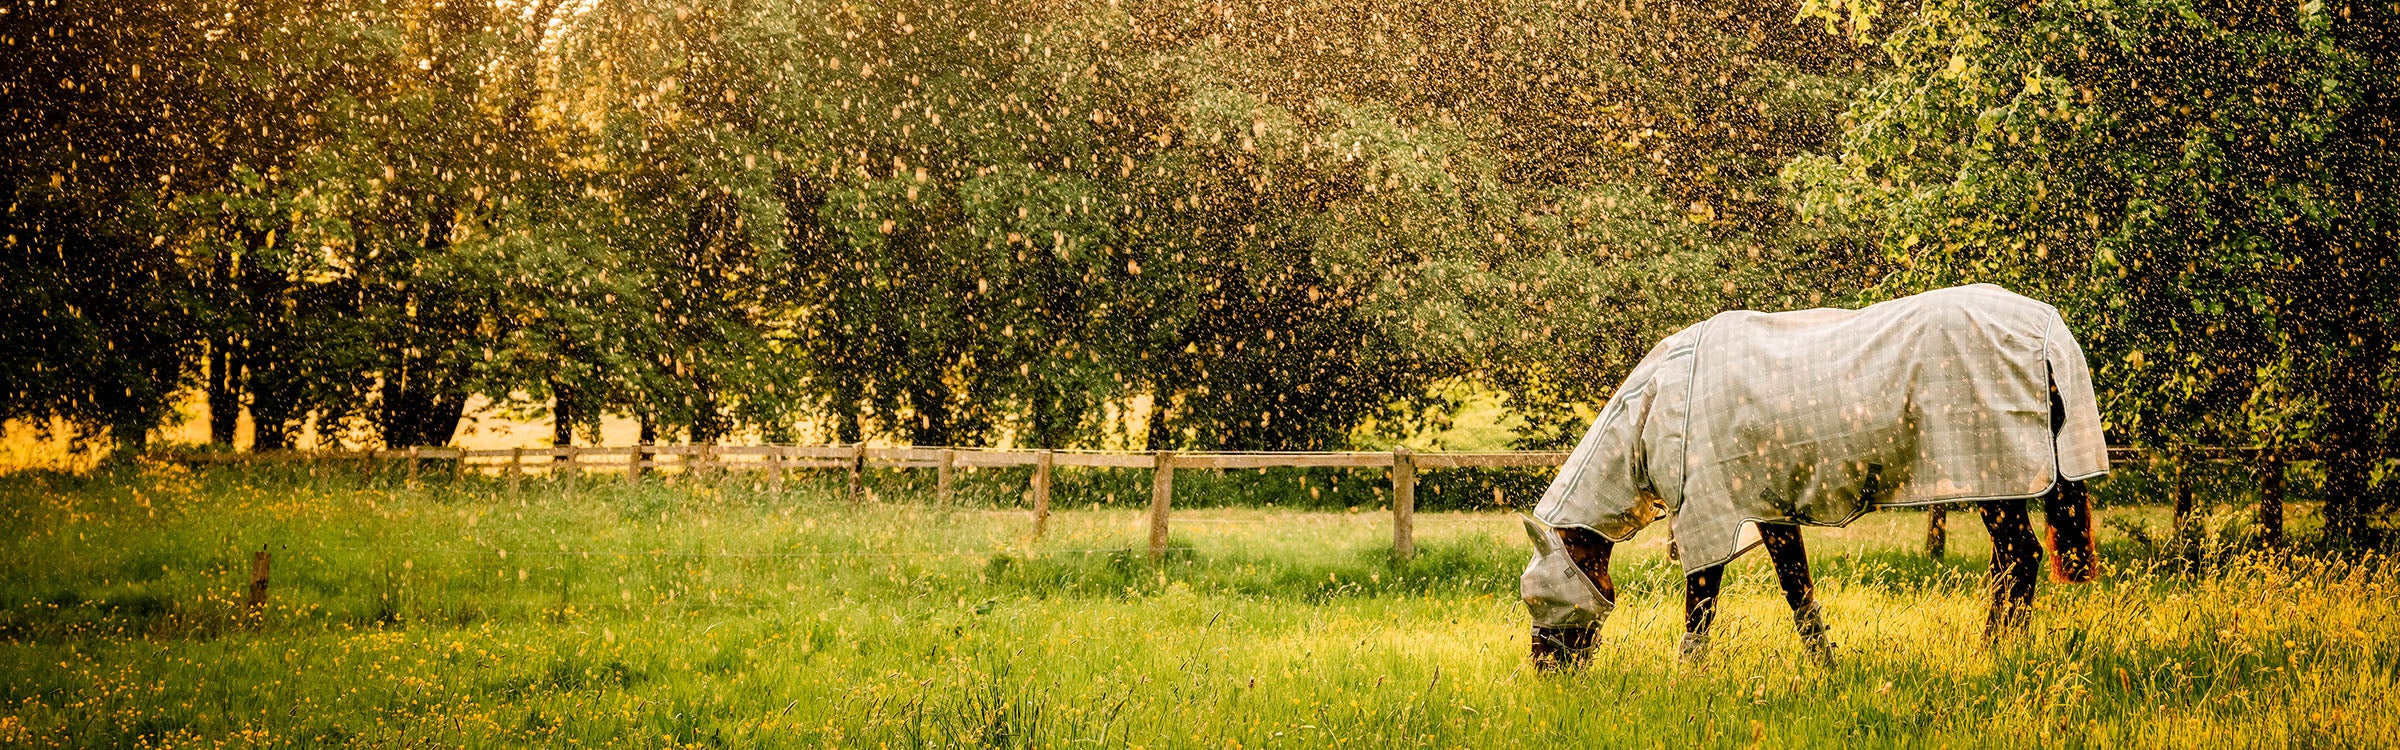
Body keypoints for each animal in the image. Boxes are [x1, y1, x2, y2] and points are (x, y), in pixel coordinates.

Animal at [1518, 284, 2109, 669]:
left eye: (1539, 596)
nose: (1545, 670)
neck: (1655, 407)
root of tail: (2046, 331)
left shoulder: (1708, 518)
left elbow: (1701, 607)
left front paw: (1687, 679)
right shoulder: (1769, 514)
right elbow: (1798, 593)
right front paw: (1827, 669)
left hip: (1995, 479)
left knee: (2019, 558)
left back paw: (1992, 656)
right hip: (2003, 484)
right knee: (2008, 563)